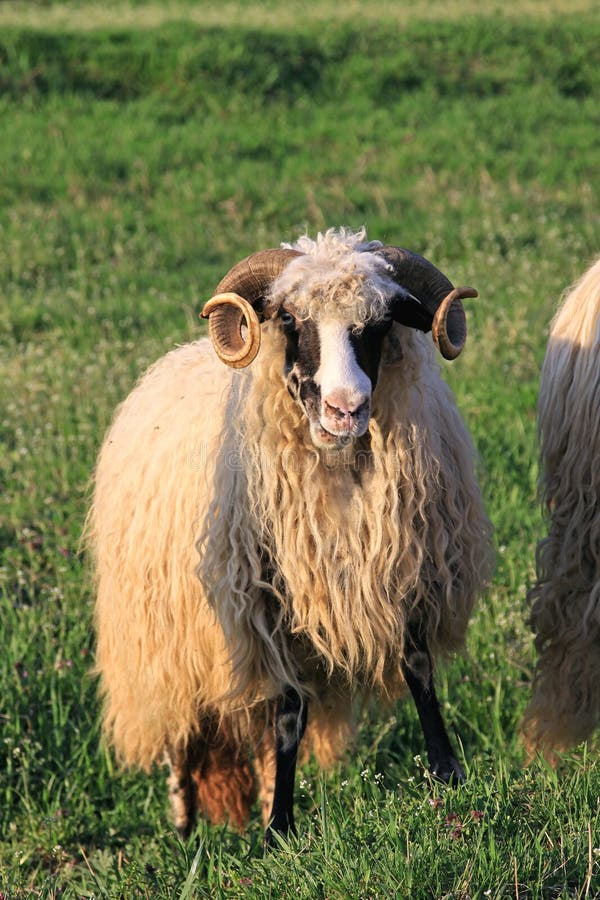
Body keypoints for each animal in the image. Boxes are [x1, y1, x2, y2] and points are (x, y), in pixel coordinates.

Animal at [88, 227, 493, 843]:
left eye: (380, 323)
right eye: (288, 318)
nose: (346, 408)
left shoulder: (406, 571)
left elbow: (418, 669)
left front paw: (447, 772)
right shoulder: (266, 607)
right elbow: (288, 714)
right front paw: (280, 828)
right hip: (168, 645)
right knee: (183, 735)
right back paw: (184, 826)